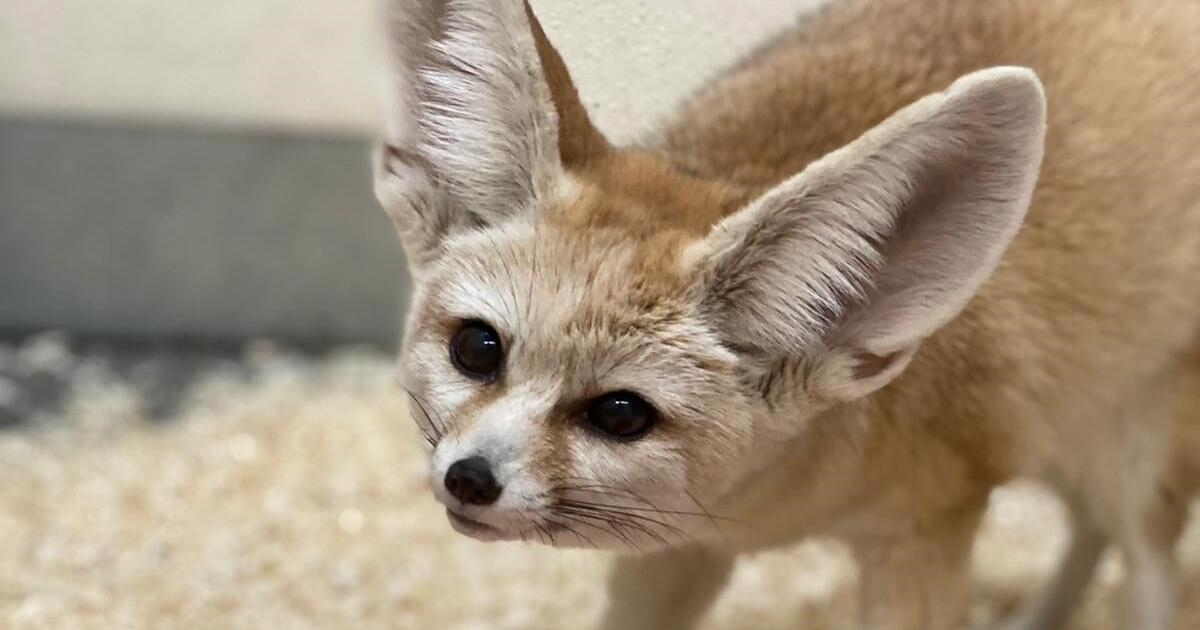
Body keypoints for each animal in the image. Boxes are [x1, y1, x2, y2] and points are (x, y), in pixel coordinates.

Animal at [371, 0, 1200, 628]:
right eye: (478, 349)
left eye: (621, 414)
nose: (470, 479)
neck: (781, 505)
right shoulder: (681, 549)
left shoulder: (926, 532)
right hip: (1072, 432)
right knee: (1092, 530)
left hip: (1130, 459)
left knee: (1145, 567)